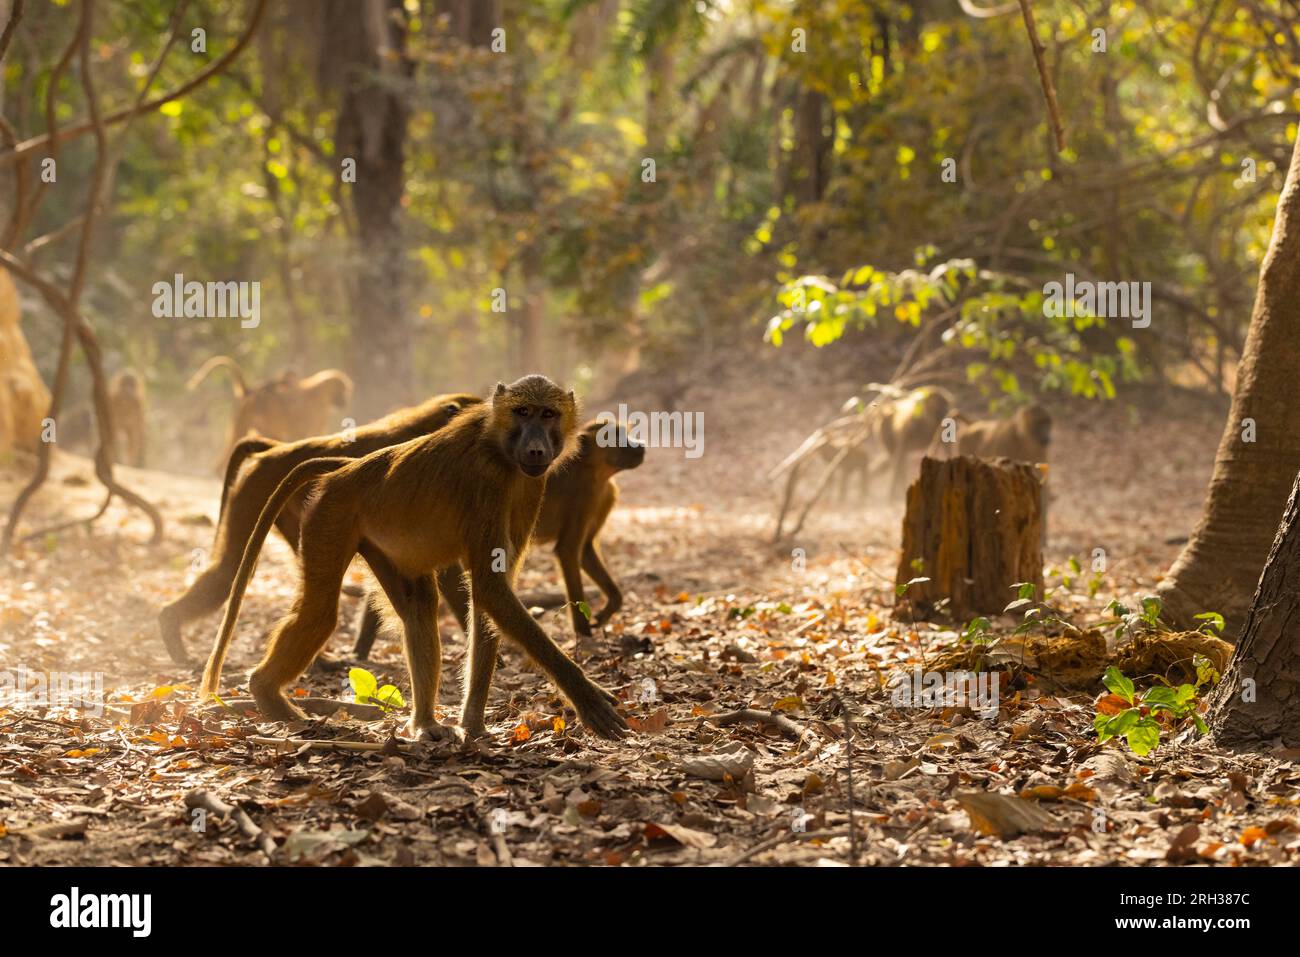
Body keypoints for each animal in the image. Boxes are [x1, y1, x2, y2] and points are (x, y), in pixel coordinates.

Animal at [157, 392, 480, 665]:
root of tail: (275, 450)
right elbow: (443, 571)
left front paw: (359, 651)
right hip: (254, 489)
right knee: (231, 570)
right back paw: (170, 625)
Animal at [351, 417, 646, 658]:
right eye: (616, 437)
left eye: (625, 433)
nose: (639, 445)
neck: (596, 471)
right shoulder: (584, 495)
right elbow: (568, 551)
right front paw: (583, 631)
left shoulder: (603, 497)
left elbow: (584, 552)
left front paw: (608, 609)